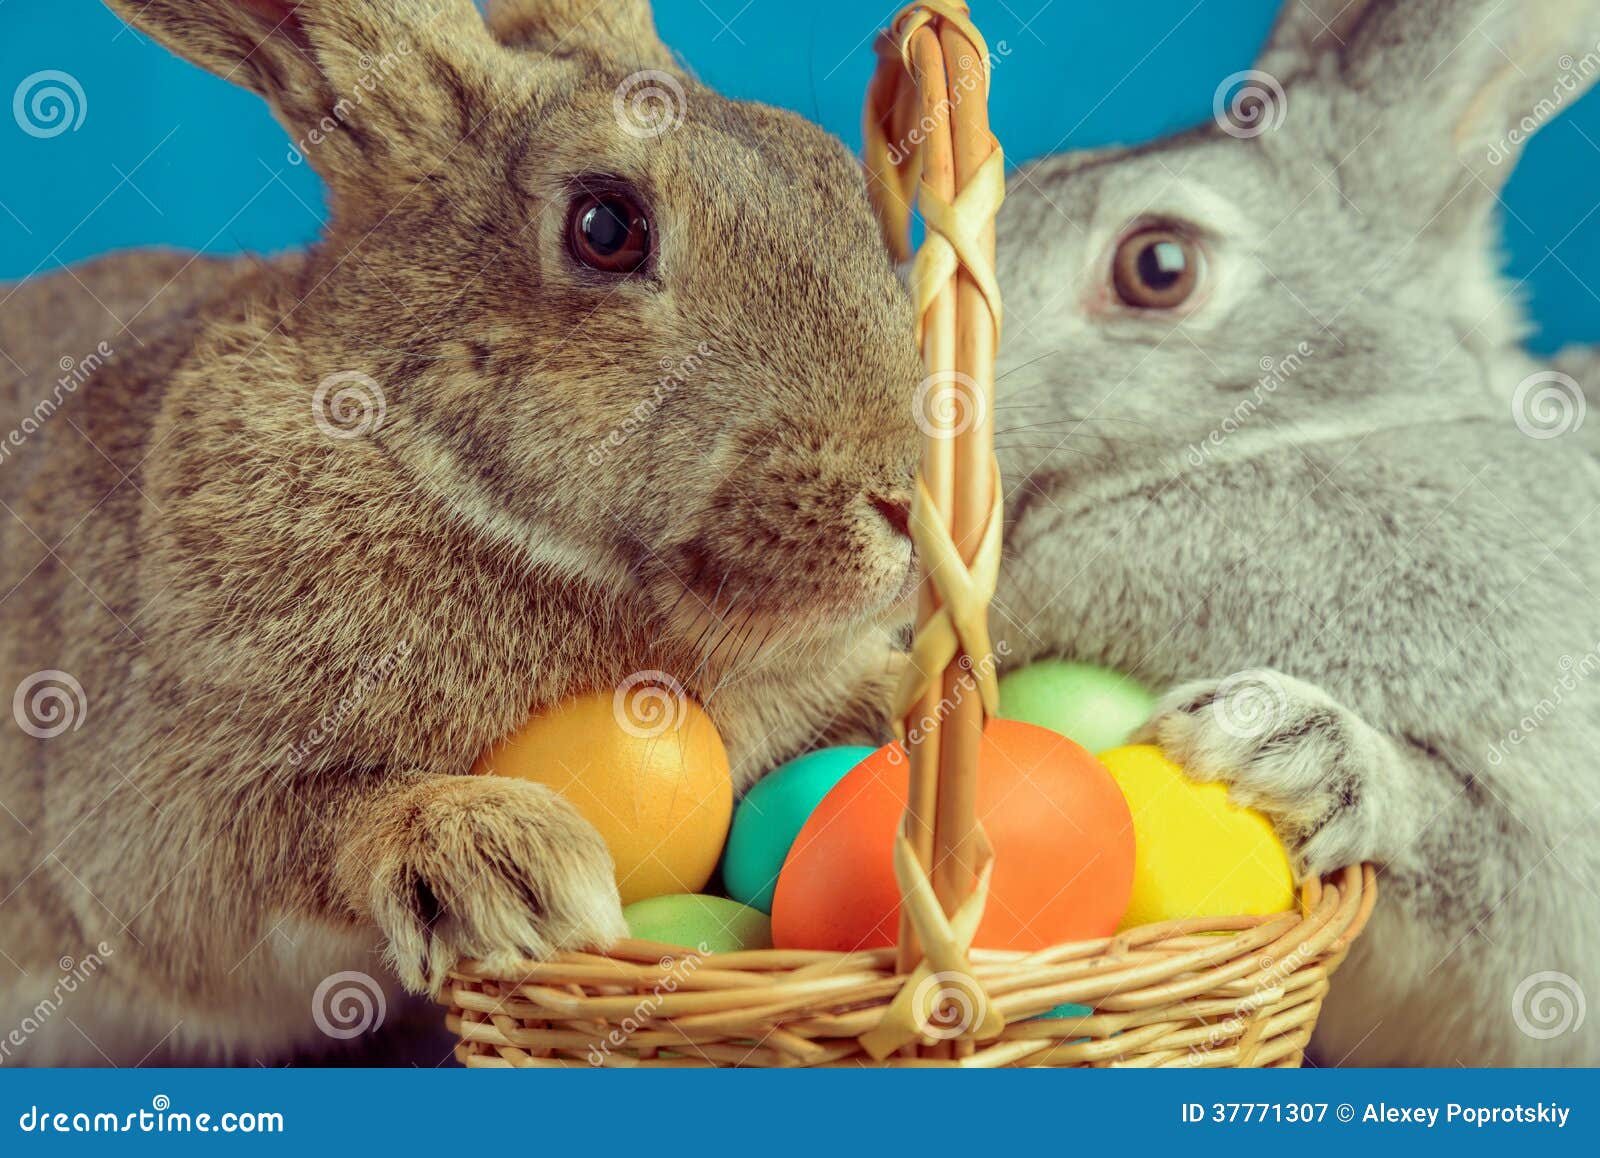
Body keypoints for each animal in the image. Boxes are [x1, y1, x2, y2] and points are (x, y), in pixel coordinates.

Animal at [0, 0, 921, 1065]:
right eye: (607, 227)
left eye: (832, 171)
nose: (907, 496)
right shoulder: (162, 818)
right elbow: (287, 834)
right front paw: (505, 864)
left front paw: (910, 704)